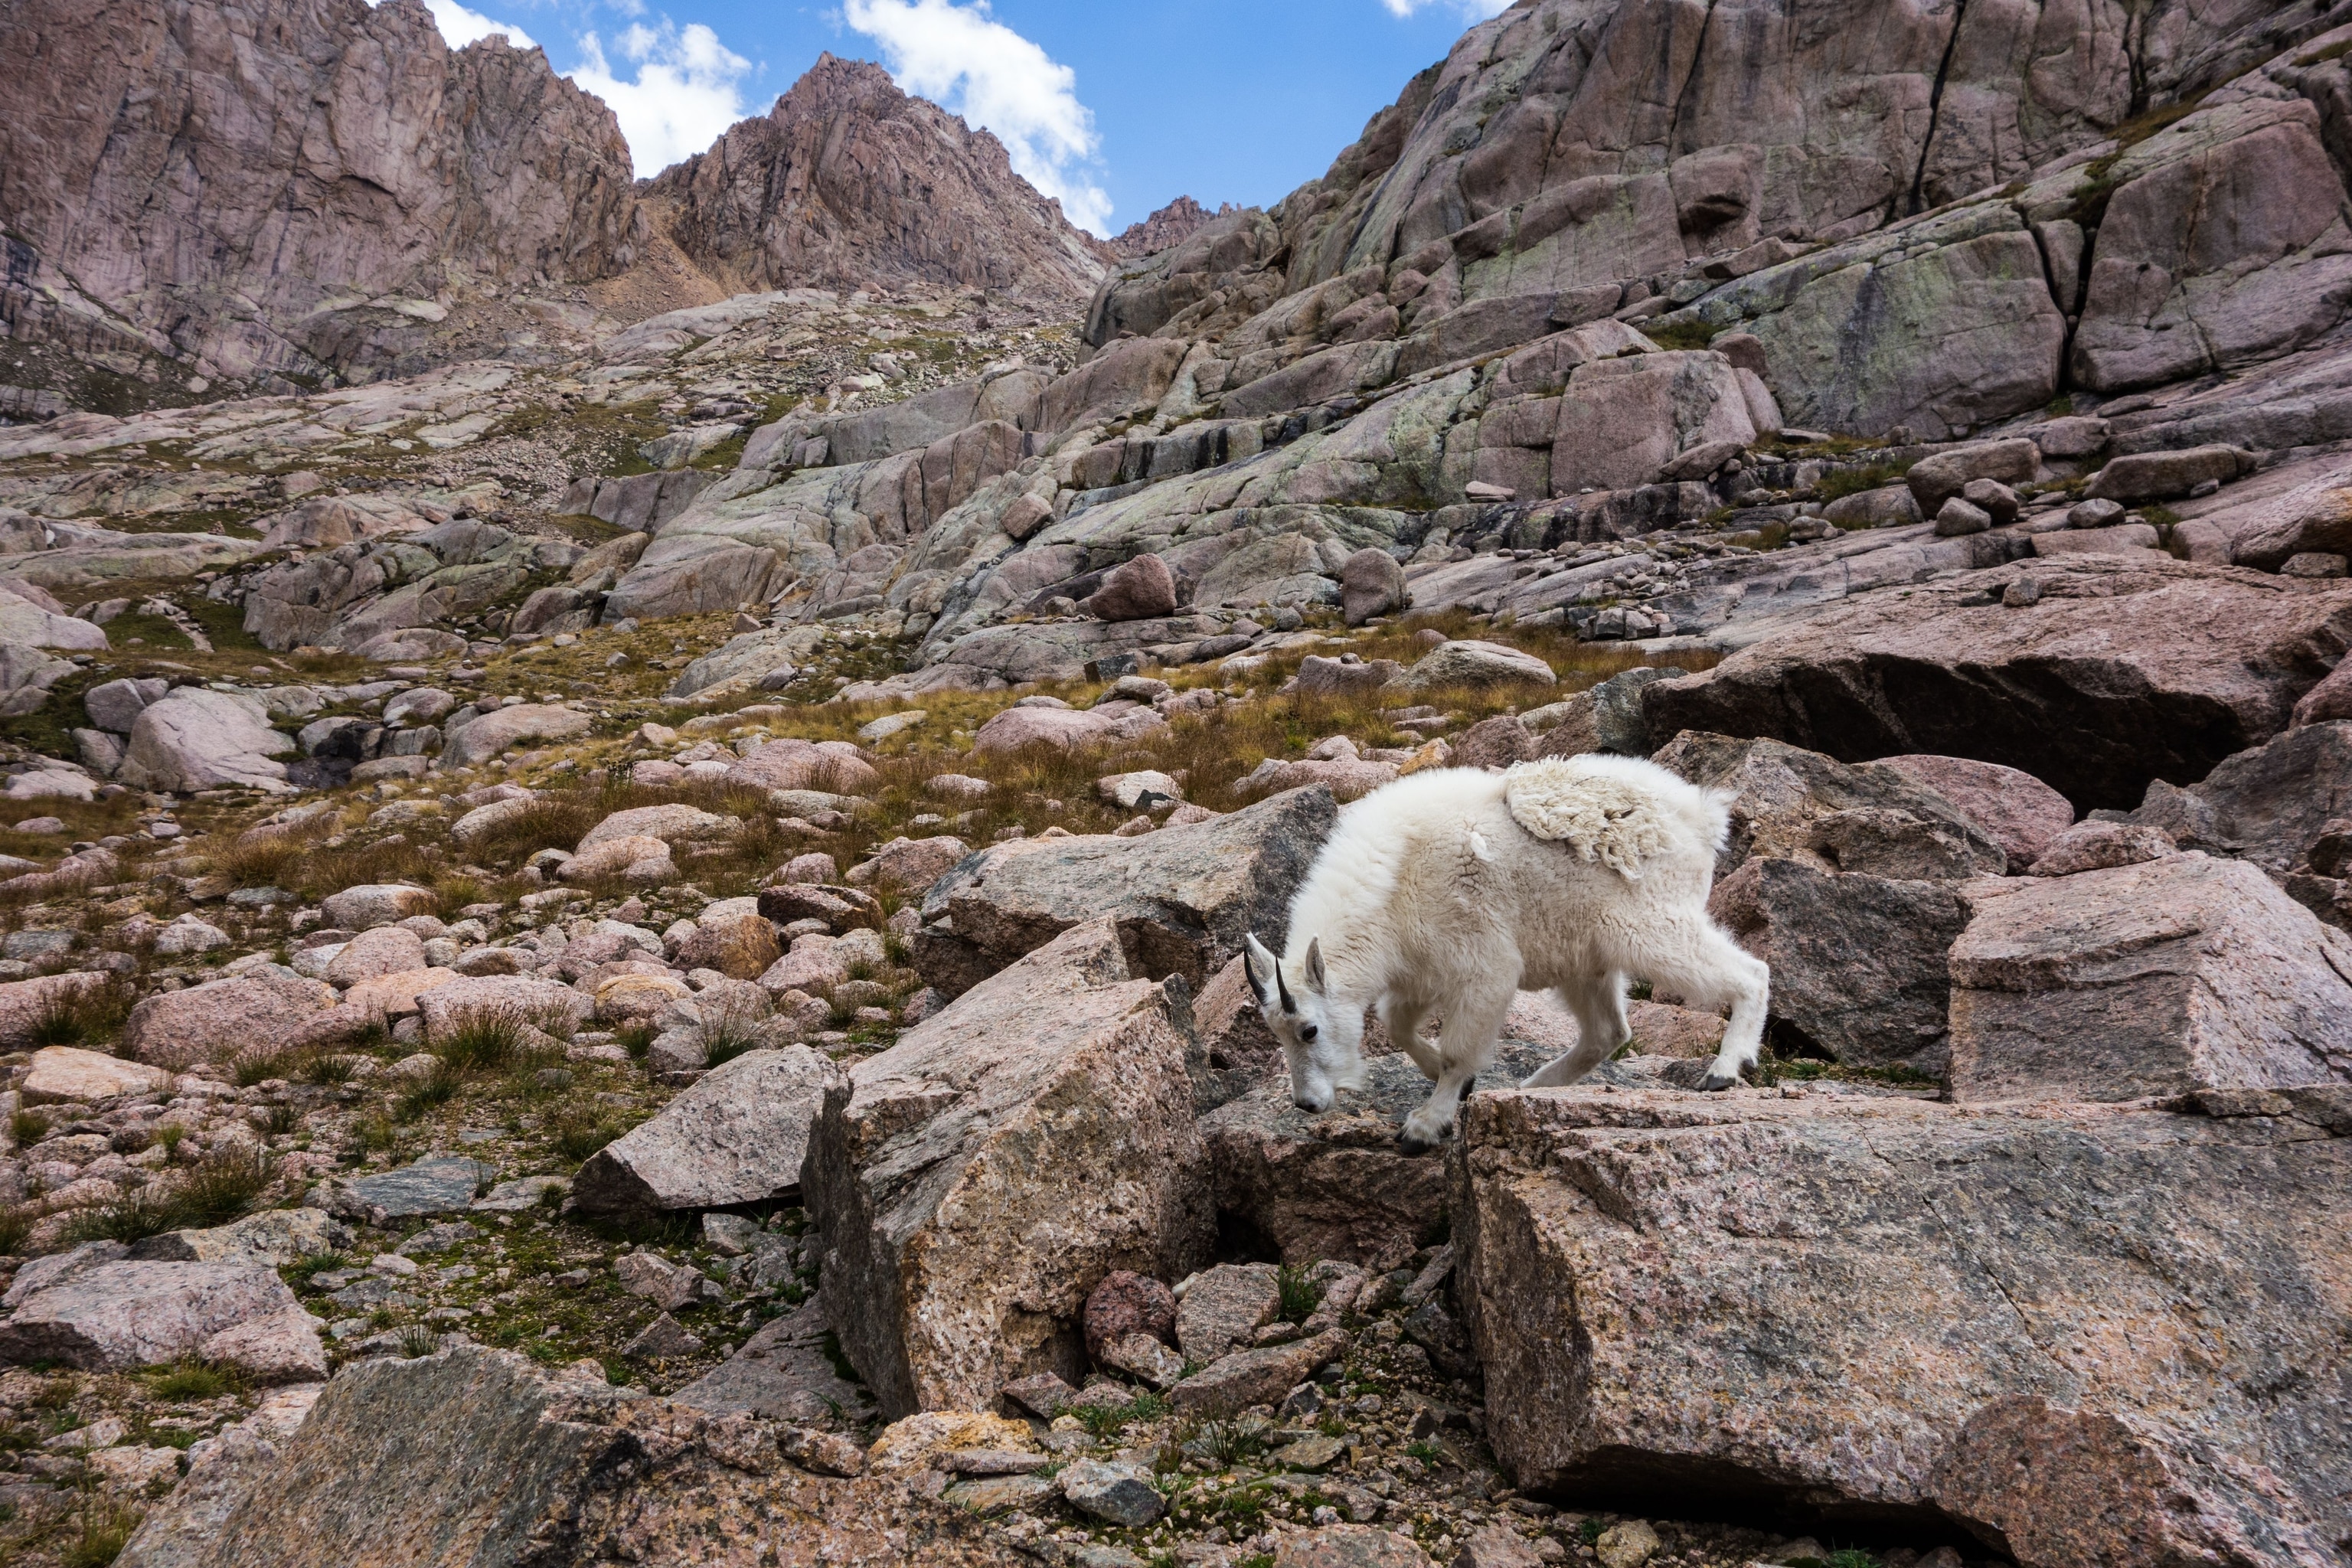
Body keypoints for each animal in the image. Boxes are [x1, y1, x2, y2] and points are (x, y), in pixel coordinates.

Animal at [1242, 756, 1769, 1151]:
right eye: (1275, 1032)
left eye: (1309, 1030)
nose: (1308, 1105)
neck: (1392, 884)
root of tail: (1703, 818)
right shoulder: (1420, 968)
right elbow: (1396, 1025)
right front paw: (1451, 1082)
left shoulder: (1481, 963)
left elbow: (1459, 1049)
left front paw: (1426, 1123)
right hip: (1585, 955)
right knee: (1609, 1030)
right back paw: (1535, 1087)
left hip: (1650, 926)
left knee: (1751, 971)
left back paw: (1725, 1069)